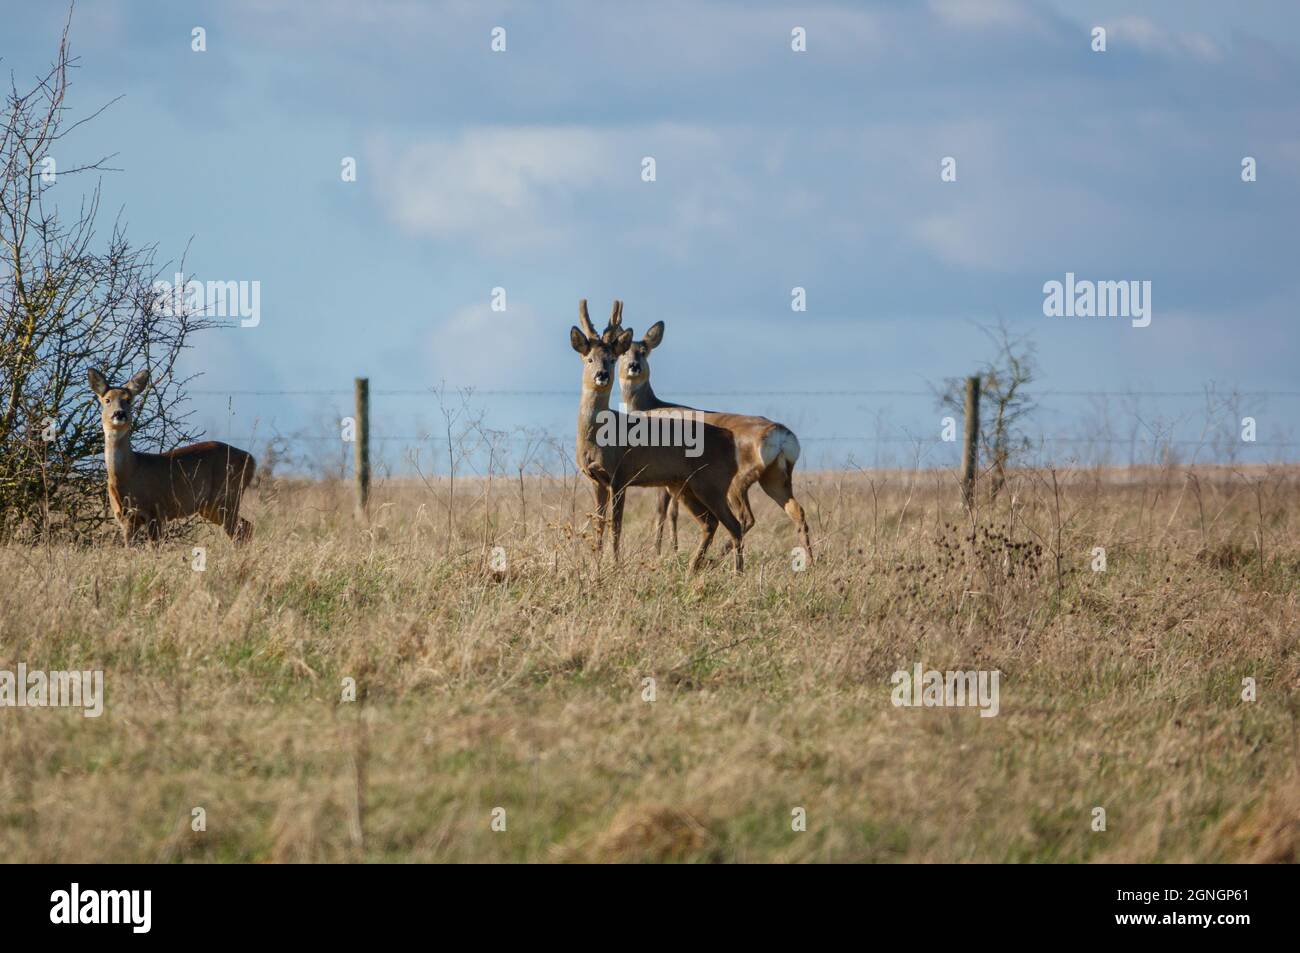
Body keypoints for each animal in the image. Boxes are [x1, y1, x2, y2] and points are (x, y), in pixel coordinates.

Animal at [88, 368, 256, 545]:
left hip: (227, 496)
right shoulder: (124, 518)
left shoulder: (156, 510)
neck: (129, 472)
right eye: (107, 400)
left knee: (242, 529)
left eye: (128, 400)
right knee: (246, 527)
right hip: (212, 507)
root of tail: (252, 460)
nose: (119, 413)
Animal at [570, 299, 745, 573]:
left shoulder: (620, 476)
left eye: (611, 359)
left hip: (712, 483)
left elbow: (616, 526)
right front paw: (596, 564)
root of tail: (732, 444)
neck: (599, 440)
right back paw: (692, 568)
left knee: (734, 524)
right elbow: (599, 524)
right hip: (685, 486)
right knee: (710, 523)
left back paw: (737, 572)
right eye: (589, 359)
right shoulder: (595, 479)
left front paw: (615, 565)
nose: (602, 375)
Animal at [604, 304, 812, 561]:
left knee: (745, 517)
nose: (634, 366)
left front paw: (661, 551)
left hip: (739, 479)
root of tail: (781, 435)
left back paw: (716, 558)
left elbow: (663, 511)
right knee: (798, 511)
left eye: (644, 351)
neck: (649, 406)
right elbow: (671, 511)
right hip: (776, 476)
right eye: (624, 353)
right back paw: (811, 560)